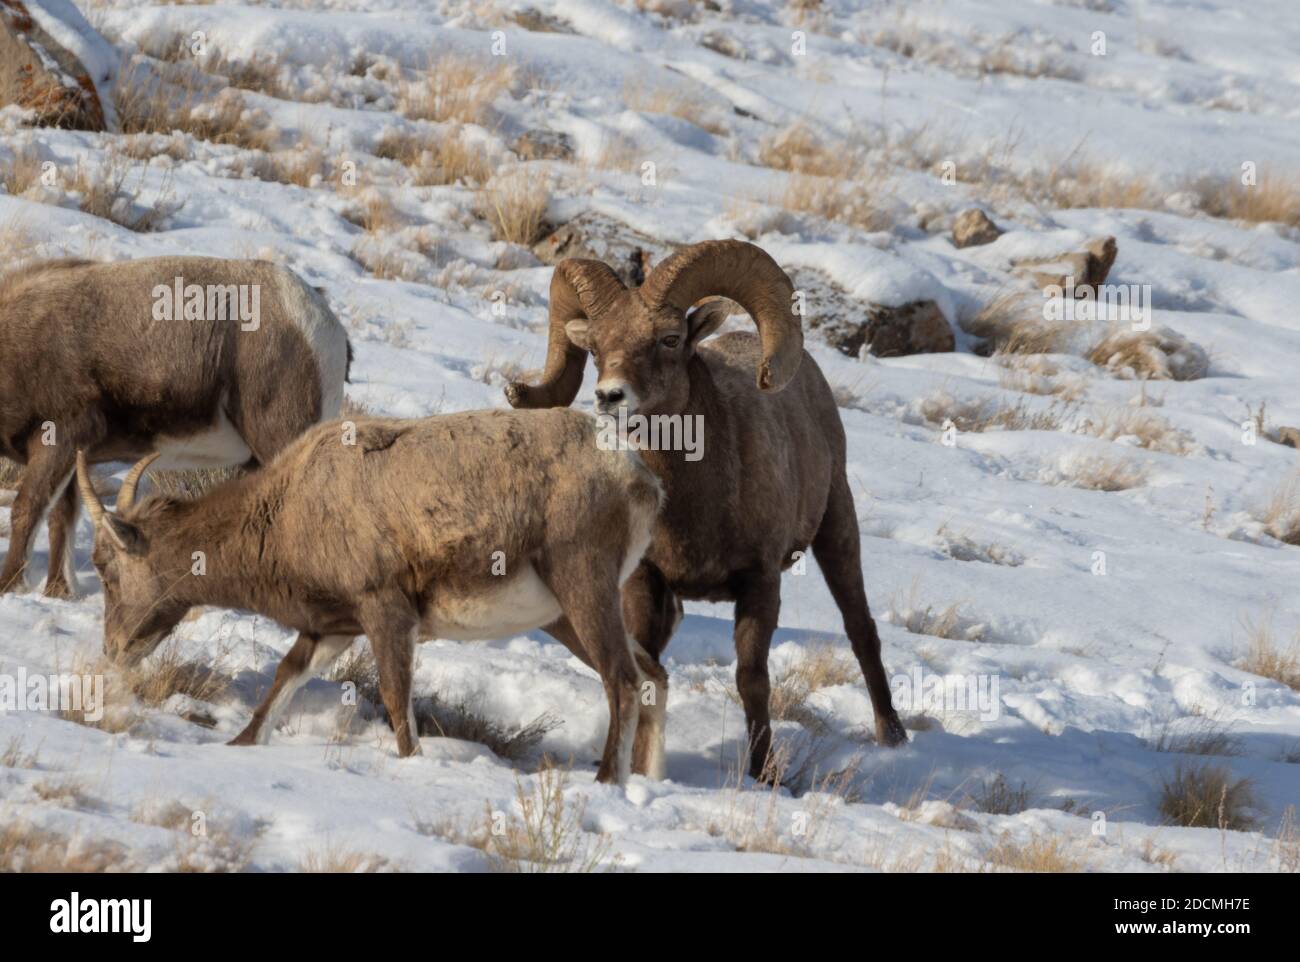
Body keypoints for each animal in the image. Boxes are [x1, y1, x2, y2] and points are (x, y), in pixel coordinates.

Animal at [0, 256, 350, 599]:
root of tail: (324, 327)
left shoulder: (58, 439)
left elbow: (27, 509)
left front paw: (10, 587)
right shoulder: (73, 456)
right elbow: (60, 519)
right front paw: (57, 592)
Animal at [74, 409, 666, 784]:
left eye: (105, 569)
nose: (115, 650)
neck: (288, 511)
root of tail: (639, 477)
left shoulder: (386, 612)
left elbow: (397, 702)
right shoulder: (330, 629)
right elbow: (282, 682)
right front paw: (239, 747)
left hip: (583, 588)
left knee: (623, 679)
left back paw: (606, 781)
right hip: (565, 616)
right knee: (652, 676)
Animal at [506, 239, 906, 779]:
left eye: (670, 339)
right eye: (594, 348)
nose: (610, 397)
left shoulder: (761, 581)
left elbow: (752, 681)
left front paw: (764, 774)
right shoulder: (644, 583)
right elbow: (648, 671)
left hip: (837, 528)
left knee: (861, 630)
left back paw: (894, 738)